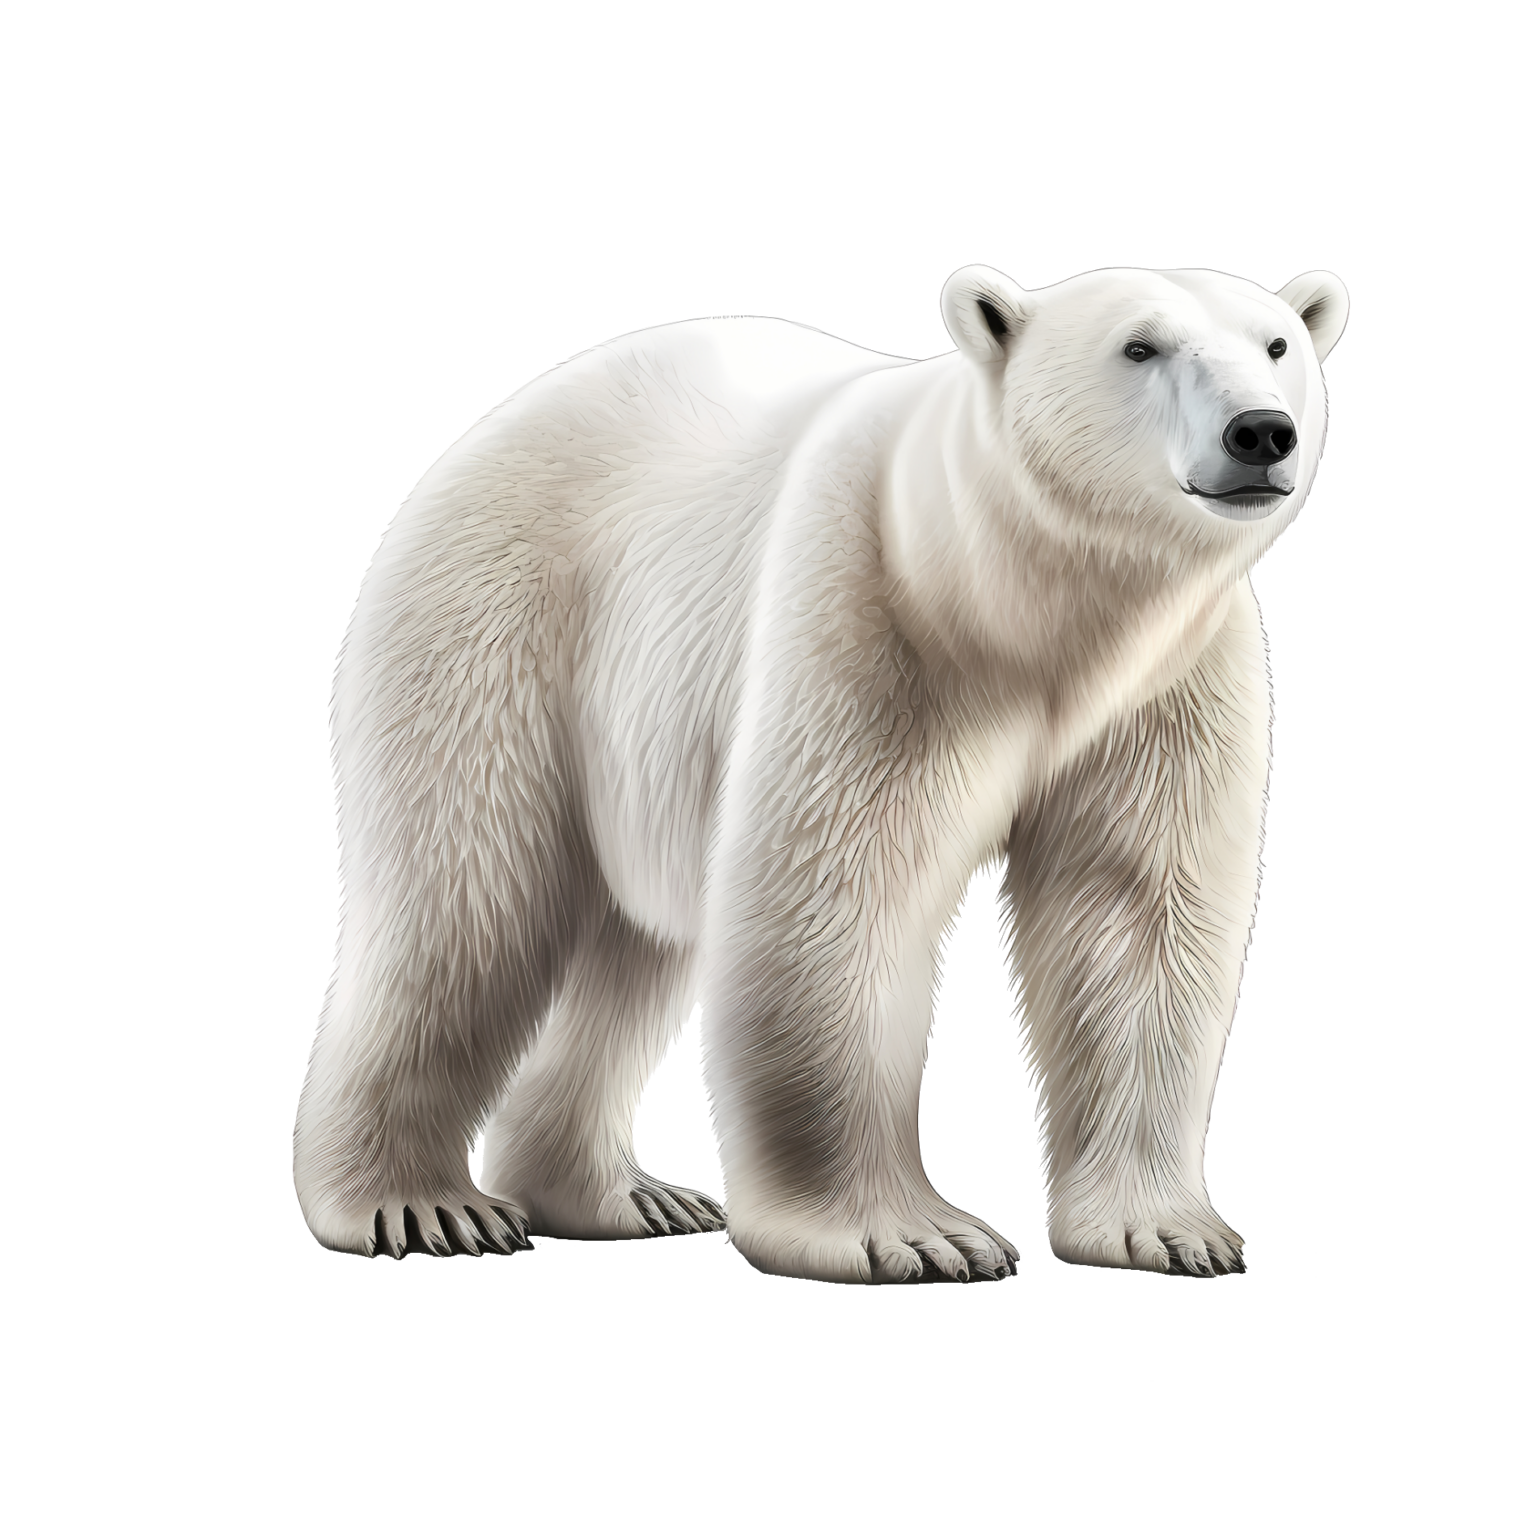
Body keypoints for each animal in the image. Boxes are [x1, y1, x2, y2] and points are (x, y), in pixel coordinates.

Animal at [294, 264, 1349, 1283]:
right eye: (1140, 346)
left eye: (1277, 343)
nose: (1262, 430)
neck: (1022, 605)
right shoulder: (873, 617)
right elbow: (838, 892)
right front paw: (911, 1239)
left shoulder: (1167, 680)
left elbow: (1137, 911)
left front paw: (1168, 1233)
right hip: (497, 627)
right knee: (469, 909)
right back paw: (418, 1207)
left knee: (630, 946)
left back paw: (623, 1197)